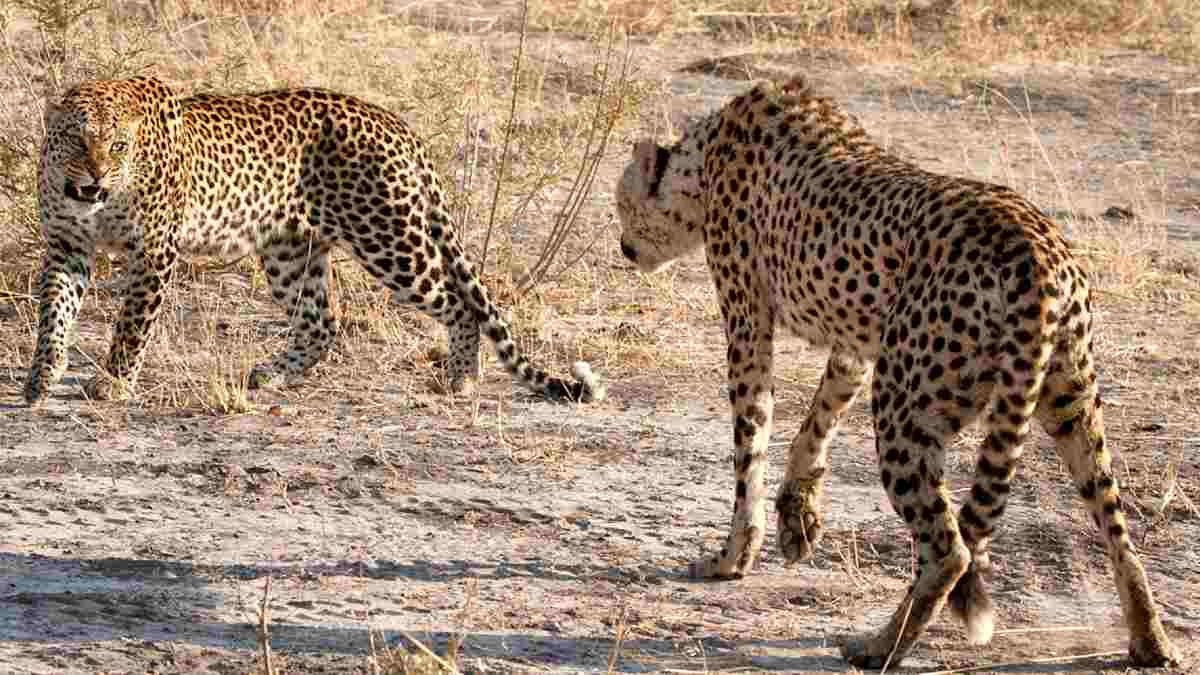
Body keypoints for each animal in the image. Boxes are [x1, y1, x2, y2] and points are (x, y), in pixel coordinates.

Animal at [24, 76, 605, 406]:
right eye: (78, 141)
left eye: (119, 146)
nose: (97, 176)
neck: (92, 201)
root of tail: (393, 120)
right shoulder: (67, 247)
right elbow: (54, 314)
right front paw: (41, 378)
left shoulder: (153, 252)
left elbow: (131, 326)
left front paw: (112, 385)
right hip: (289, 251)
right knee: (323, 322)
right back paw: (273, 376)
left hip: (390, 239)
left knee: (459, 304)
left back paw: (461, 379)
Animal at [614, 76, 1178, 668]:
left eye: (621, 202)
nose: (623, 246)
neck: (702, 160)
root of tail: (1037, 251)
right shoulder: (857, 348)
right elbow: (816, 422)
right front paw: (798, 517)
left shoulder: (748, 320)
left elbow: (752, 444)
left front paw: (732, 557)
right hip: (1068, 399)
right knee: (1115, 528)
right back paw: (1149, 639)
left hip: (906, 412)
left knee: (950, 550)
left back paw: (879, 645)